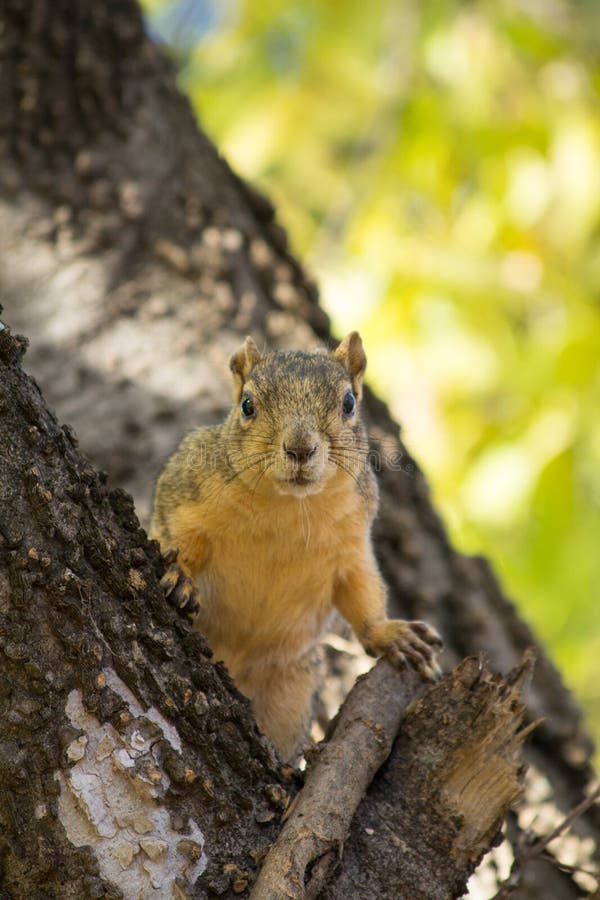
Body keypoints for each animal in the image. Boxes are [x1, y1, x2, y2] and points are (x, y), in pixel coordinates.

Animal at [149, 332, 442, 761]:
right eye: (247, 405)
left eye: (349, 403)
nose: (300, 449)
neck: (288, 507)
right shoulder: (184, 497)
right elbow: (176, 538)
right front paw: (179, 575)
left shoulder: (352, 546)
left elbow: (362, 591)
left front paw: (390, 634)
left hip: (293, 692)